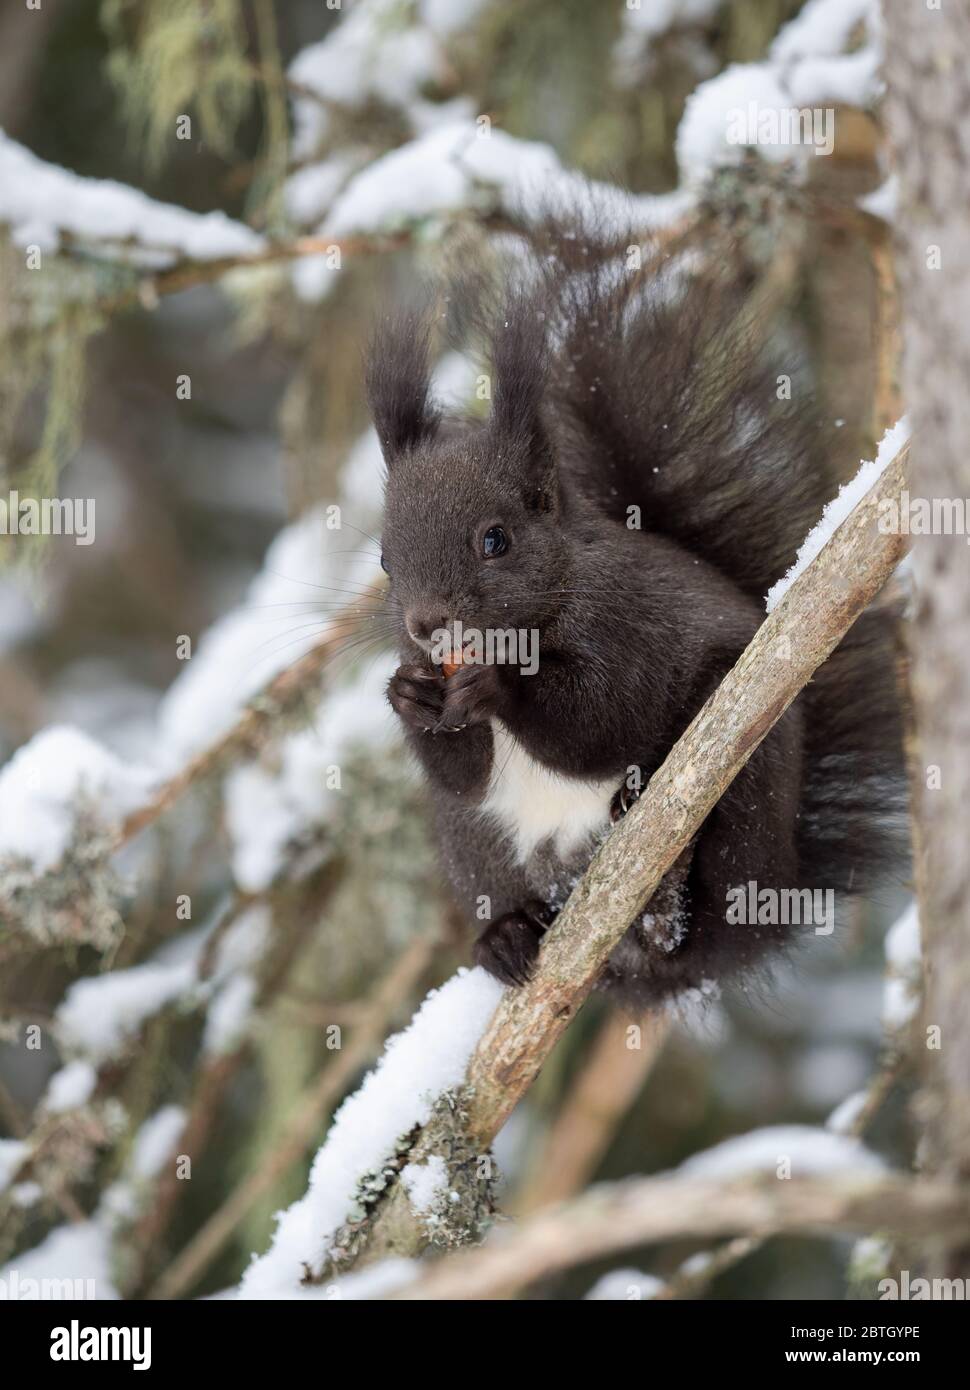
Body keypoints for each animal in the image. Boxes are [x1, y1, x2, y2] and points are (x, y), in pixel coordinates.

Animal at [366, 212, 906, 1010]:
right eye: (382, 560)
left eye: (495, 539)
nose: (426, 626)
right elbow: (463, 774)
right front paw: (409, 696)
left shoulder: (633, 627)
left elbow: (604, 723)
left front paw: (503, 684)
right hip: (474, 848)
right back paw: (508, 937)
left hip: (746, 788)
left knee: (696, 917)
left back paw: (665, 906)